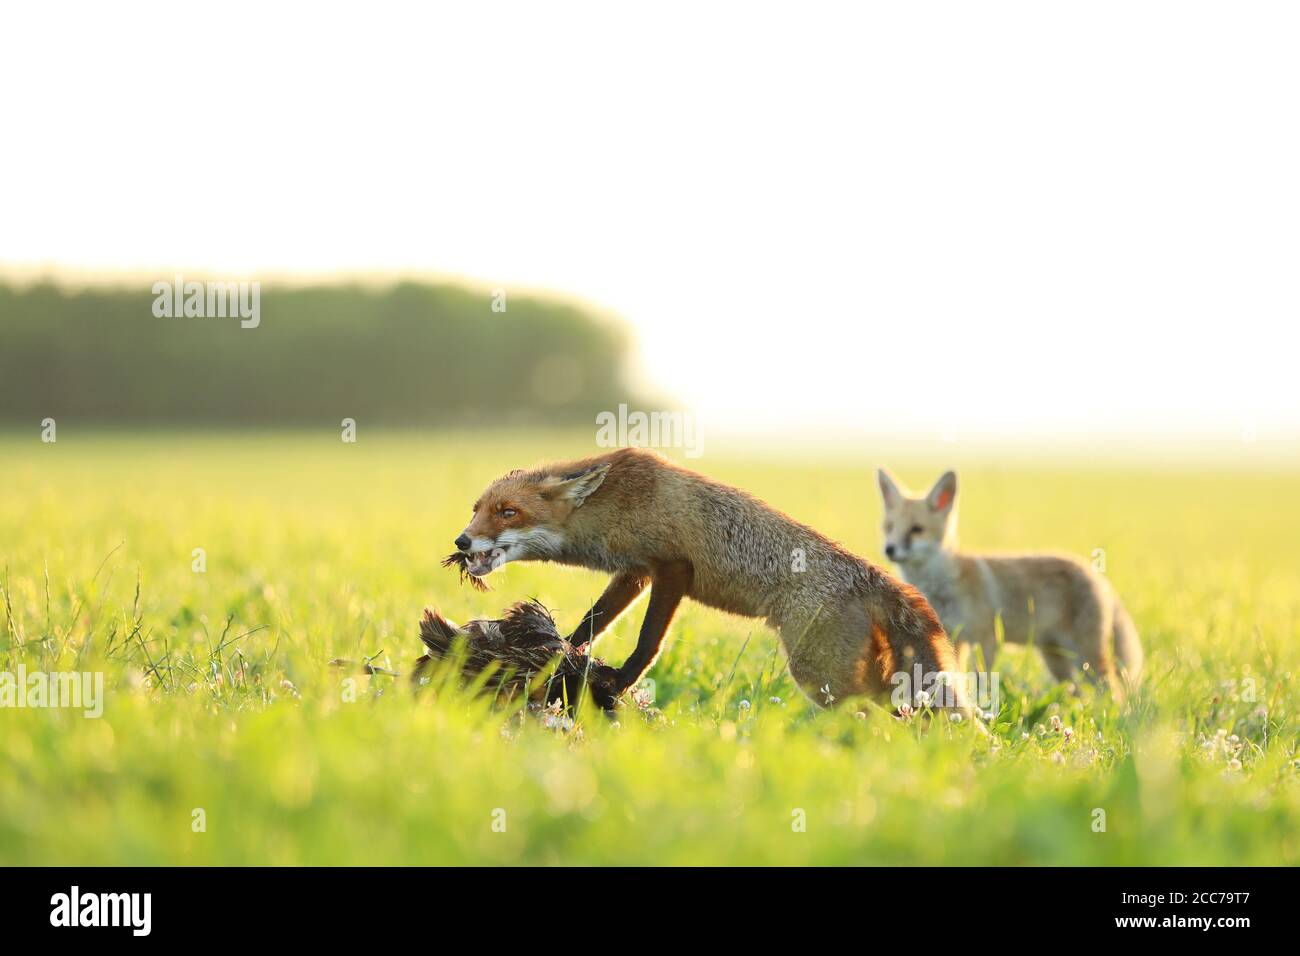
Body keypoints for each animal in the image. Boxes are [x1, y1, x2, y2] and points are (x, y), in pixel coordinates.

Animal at [452, 447, 968, 712]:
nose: (461, 540)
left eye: (508, 512)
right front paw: (563, 650)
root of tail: (867, 572)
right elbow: (593, 621)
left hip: (824, 677)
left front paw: (619, 680)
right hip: (859, 674)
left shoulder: (672, 566)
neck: (611, 503)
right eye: (476, 509)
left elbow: (648, 641)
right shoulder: (635, 571)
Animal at [876, 468, 1143, 695]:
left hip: (1086, 657)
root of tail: (1097, 575)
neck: (942, 585)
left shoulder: (987, 639)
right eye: (889, 527)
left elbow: (981, 680)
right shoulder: (952, 638)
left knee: (1112, 691)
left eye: (916, 529)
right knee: (1076, 693)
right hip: (1056, 659)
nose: (889, 549)